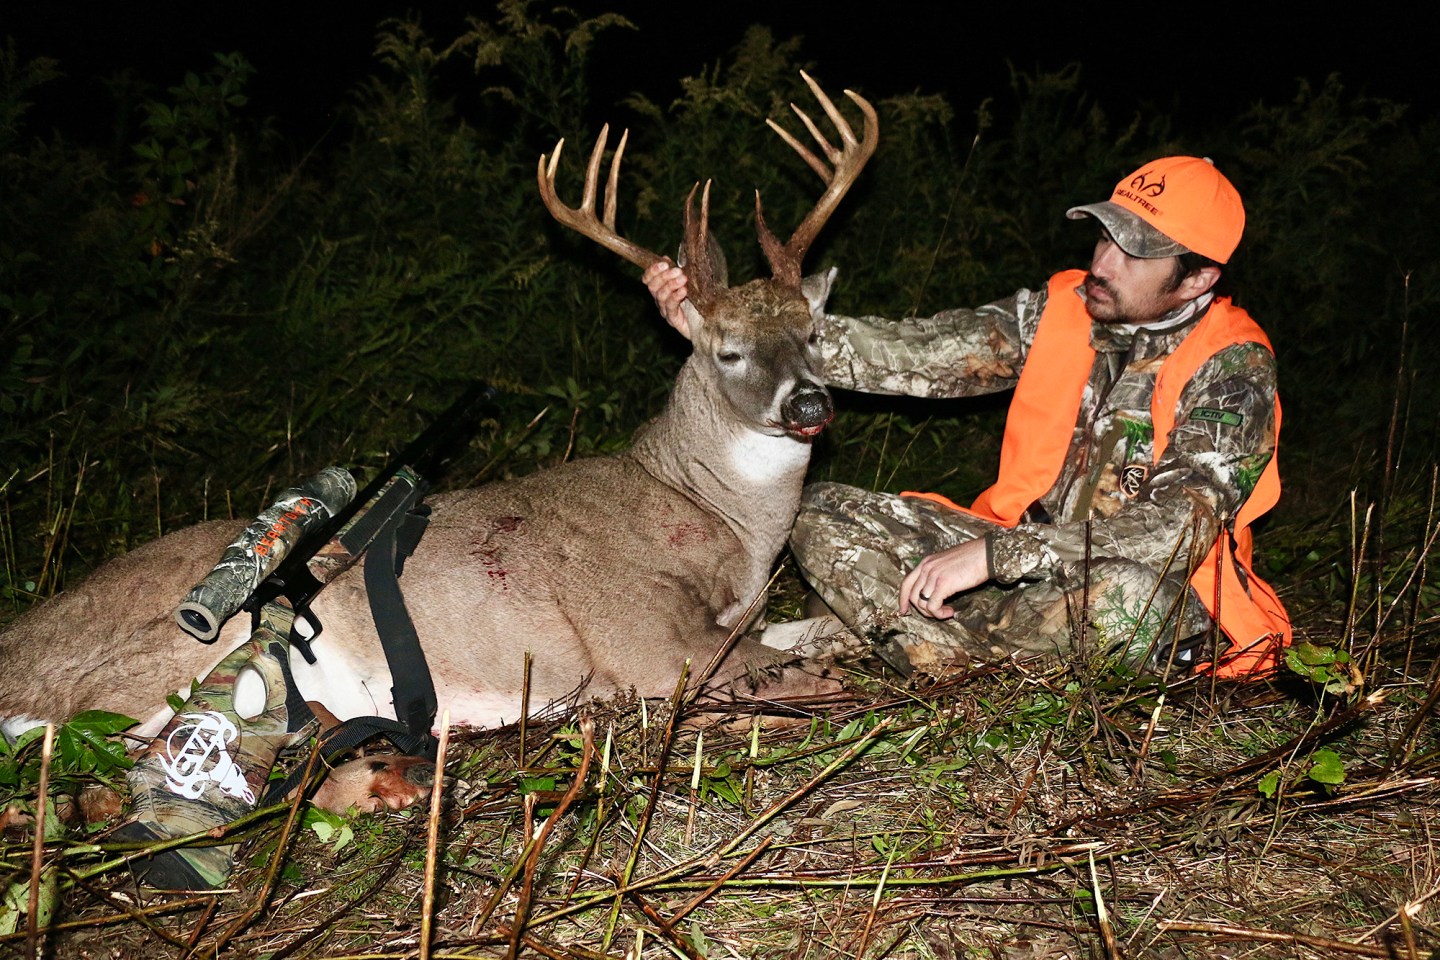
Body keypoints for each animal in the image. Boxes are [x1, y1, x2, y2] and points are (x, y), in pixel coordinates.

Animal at [0, 73, 877, 804]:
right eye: (728, 351)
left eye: (814, 332)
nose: (810, 404)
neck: (715, 515)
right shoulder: (643, 640)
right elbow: (804, 670)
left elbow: (819, 630)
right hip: (156, 662)